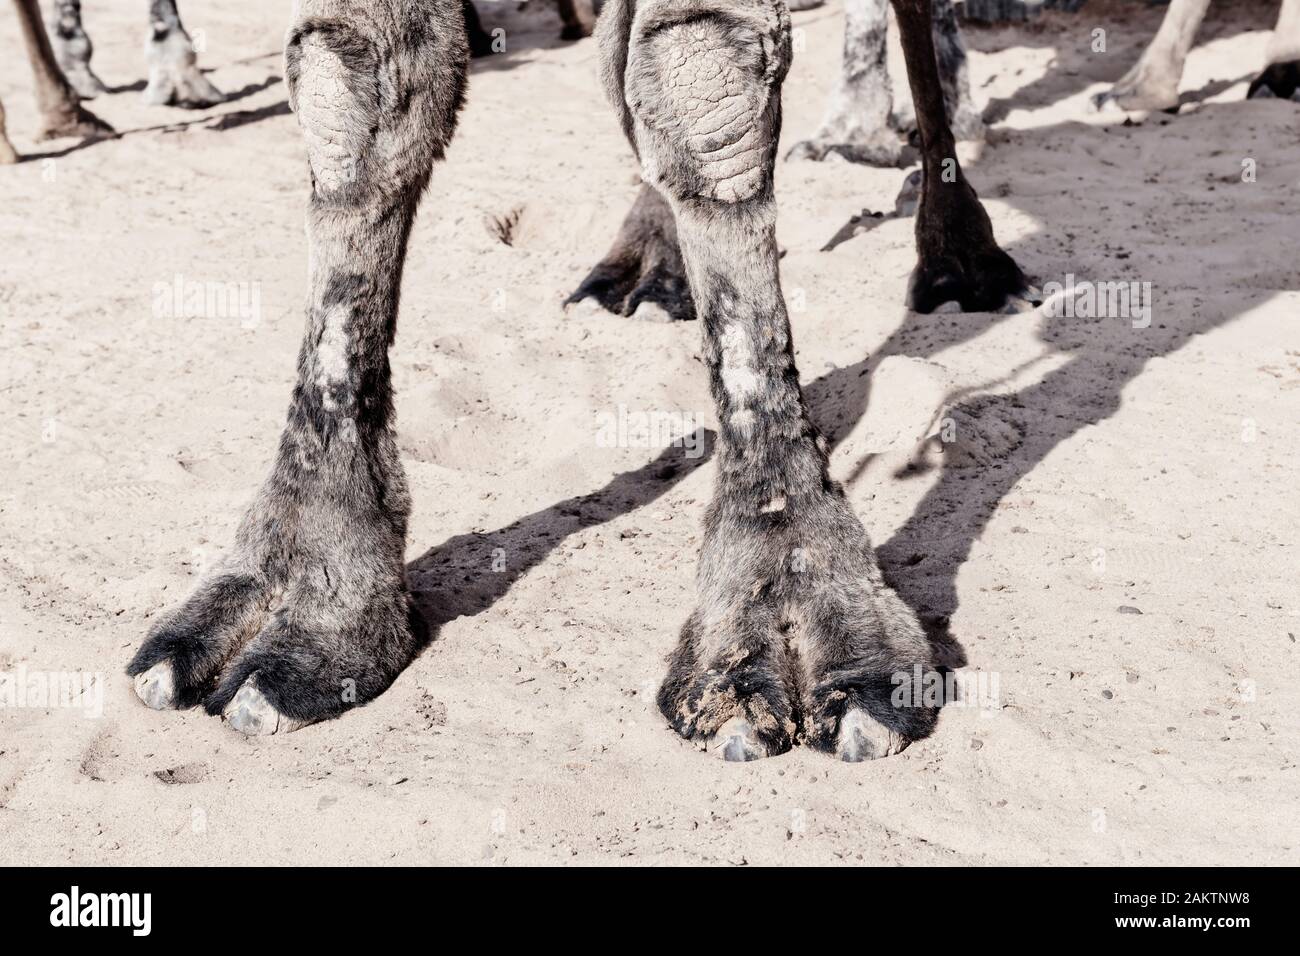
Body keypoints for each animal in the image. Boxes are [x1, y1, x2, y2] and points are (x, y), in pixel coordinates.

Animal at [125, 0, 1012, 762]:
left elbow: (703, 69)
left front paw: (793, 604)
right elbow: (355, 87)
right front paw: (309, 593)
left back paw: (953, 242)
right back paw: (659, 262)